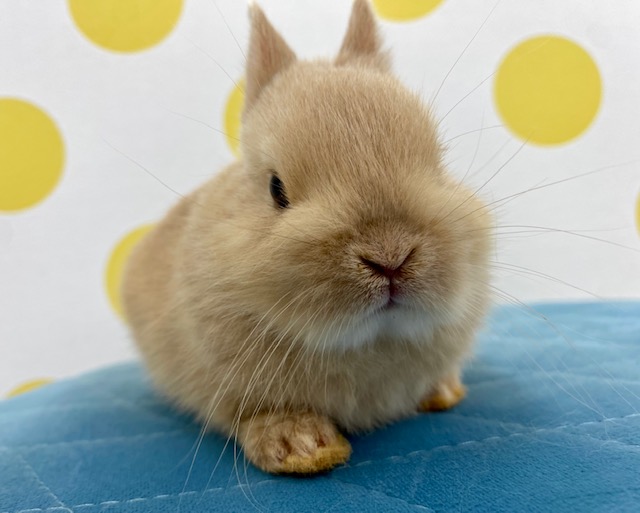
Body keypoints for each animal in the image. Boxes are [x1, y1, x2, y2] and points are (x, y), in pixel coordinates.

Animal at [122, 0, 493, 475]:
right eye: (276, 189)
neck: (370, 345)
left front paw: (443, 391)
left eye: (439, 166)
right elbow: (256, 414)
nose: (390, 256)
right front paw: (302, 447)